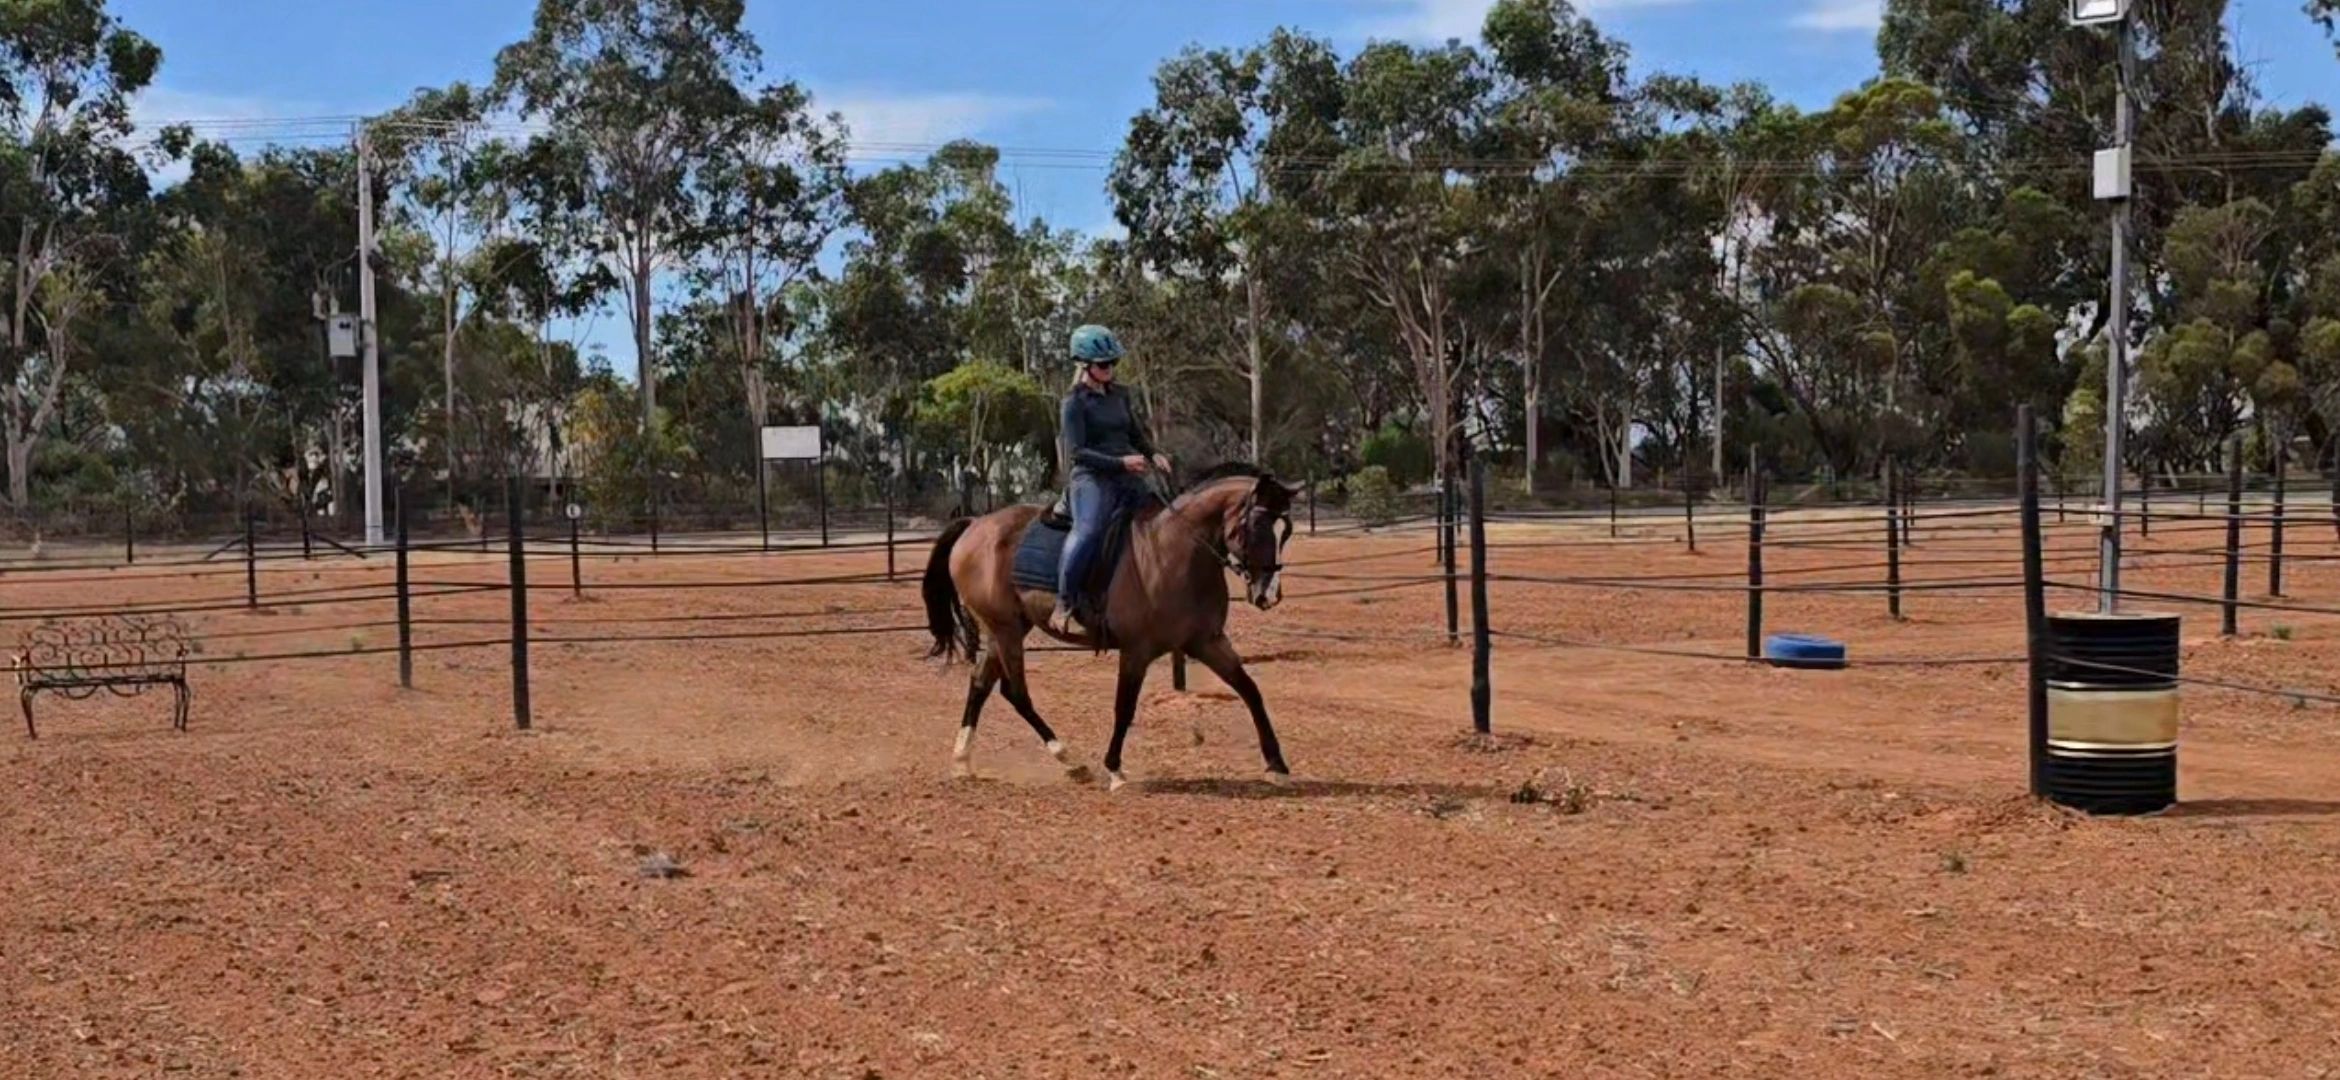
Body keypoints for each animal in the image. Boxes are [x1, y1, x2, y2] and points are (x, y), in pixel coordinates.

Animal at [919, 464, 1301, 791]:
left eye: (1285, 531)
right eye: (1258, 527)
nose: (1269, 595)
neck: (1172, 551)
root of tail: (974, 525)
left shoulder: (1207, 642)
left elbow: (1250, 690)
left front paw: (1277, 766)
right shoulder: (1136, 651)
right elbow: (1124, 706)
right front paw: (1115, 770)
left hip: (1006, 630)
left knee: (980, 684)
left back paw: (963, 761)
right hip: (1006, 630)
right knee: (1015, 693)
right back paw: (1070, 760)